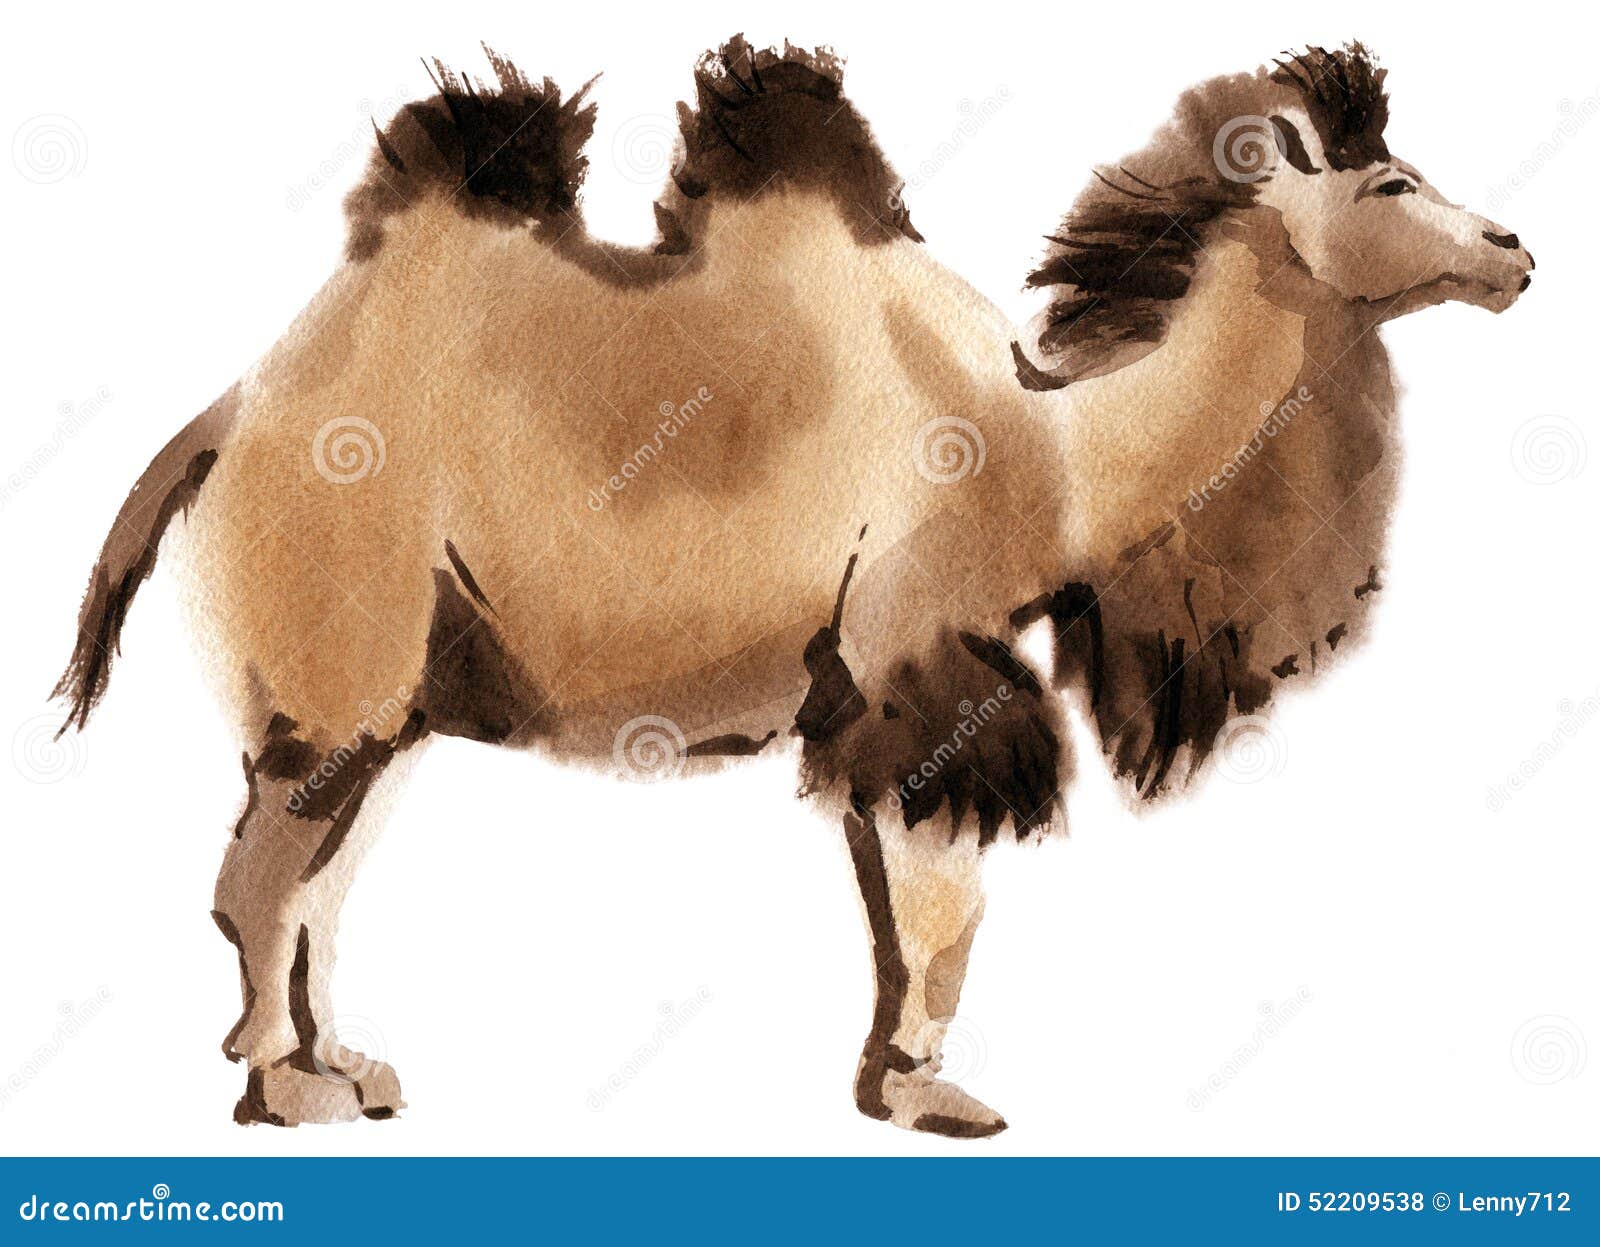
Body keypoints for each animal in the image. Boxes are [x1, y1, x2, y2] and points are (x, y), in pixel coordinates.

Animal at [53, 37, 1532, 1136]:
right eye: (1391, 184)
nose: (1514, 249)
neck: (1061, 457)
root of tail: (227, 417)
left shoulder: (867, 682)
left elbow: (898, 901)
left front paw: (891, 1078)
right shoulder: (922, 649)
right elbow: (945, 896)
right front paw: (937, 1093)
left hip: (403, 689)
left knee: (318, 873)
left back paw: (343, 1065)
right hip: (337, 643)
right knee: (266, 870)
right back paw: (282, 1084)